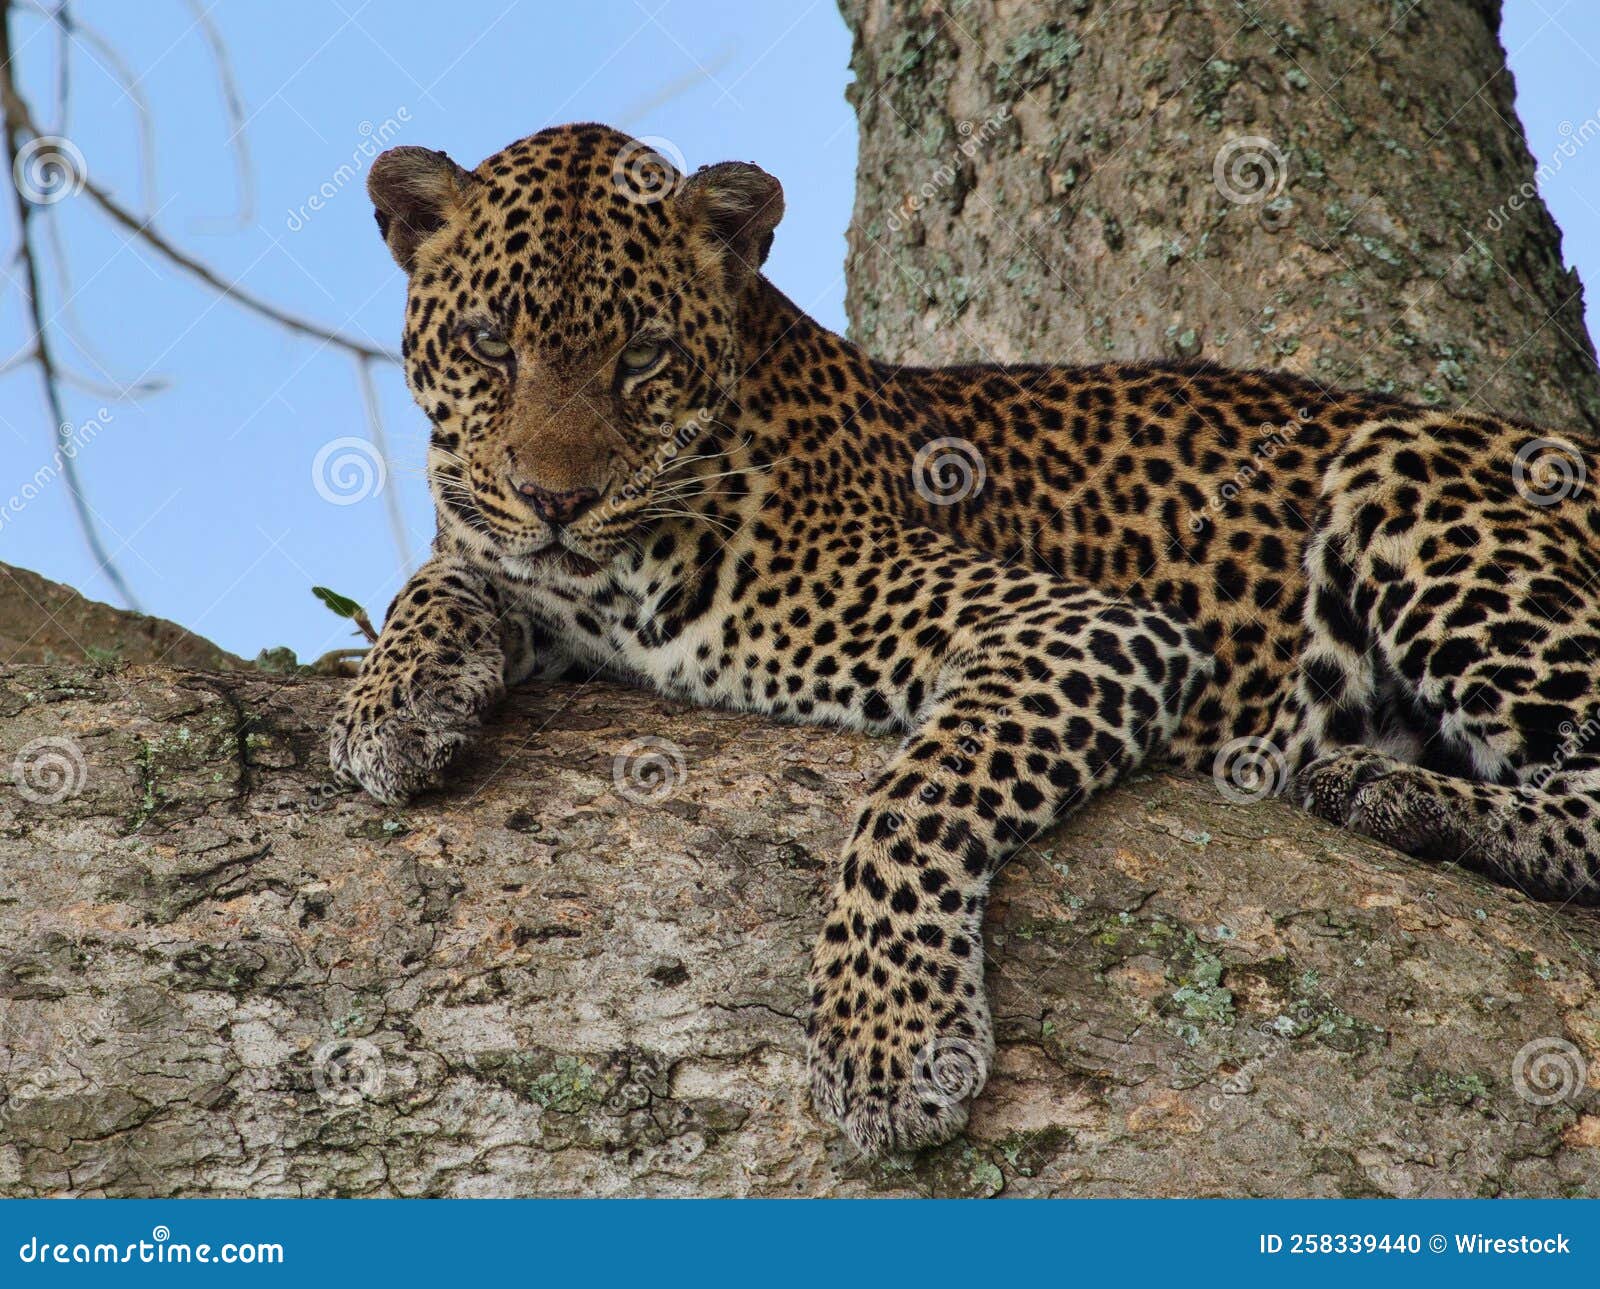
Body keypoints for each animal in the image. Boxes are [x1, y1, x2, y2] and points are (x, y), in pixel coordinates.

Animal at [330, 122, 1600, 1157]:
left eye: (642, 353)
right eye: (487, 341)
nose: (555, 496)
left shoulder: (1087, 625)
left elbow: (912, 797)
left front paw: (887, 1040)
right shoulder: (521, 565)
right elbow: (445, 577)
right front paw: (391, 704)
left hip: (1412, 475)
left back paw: (1392, 792)